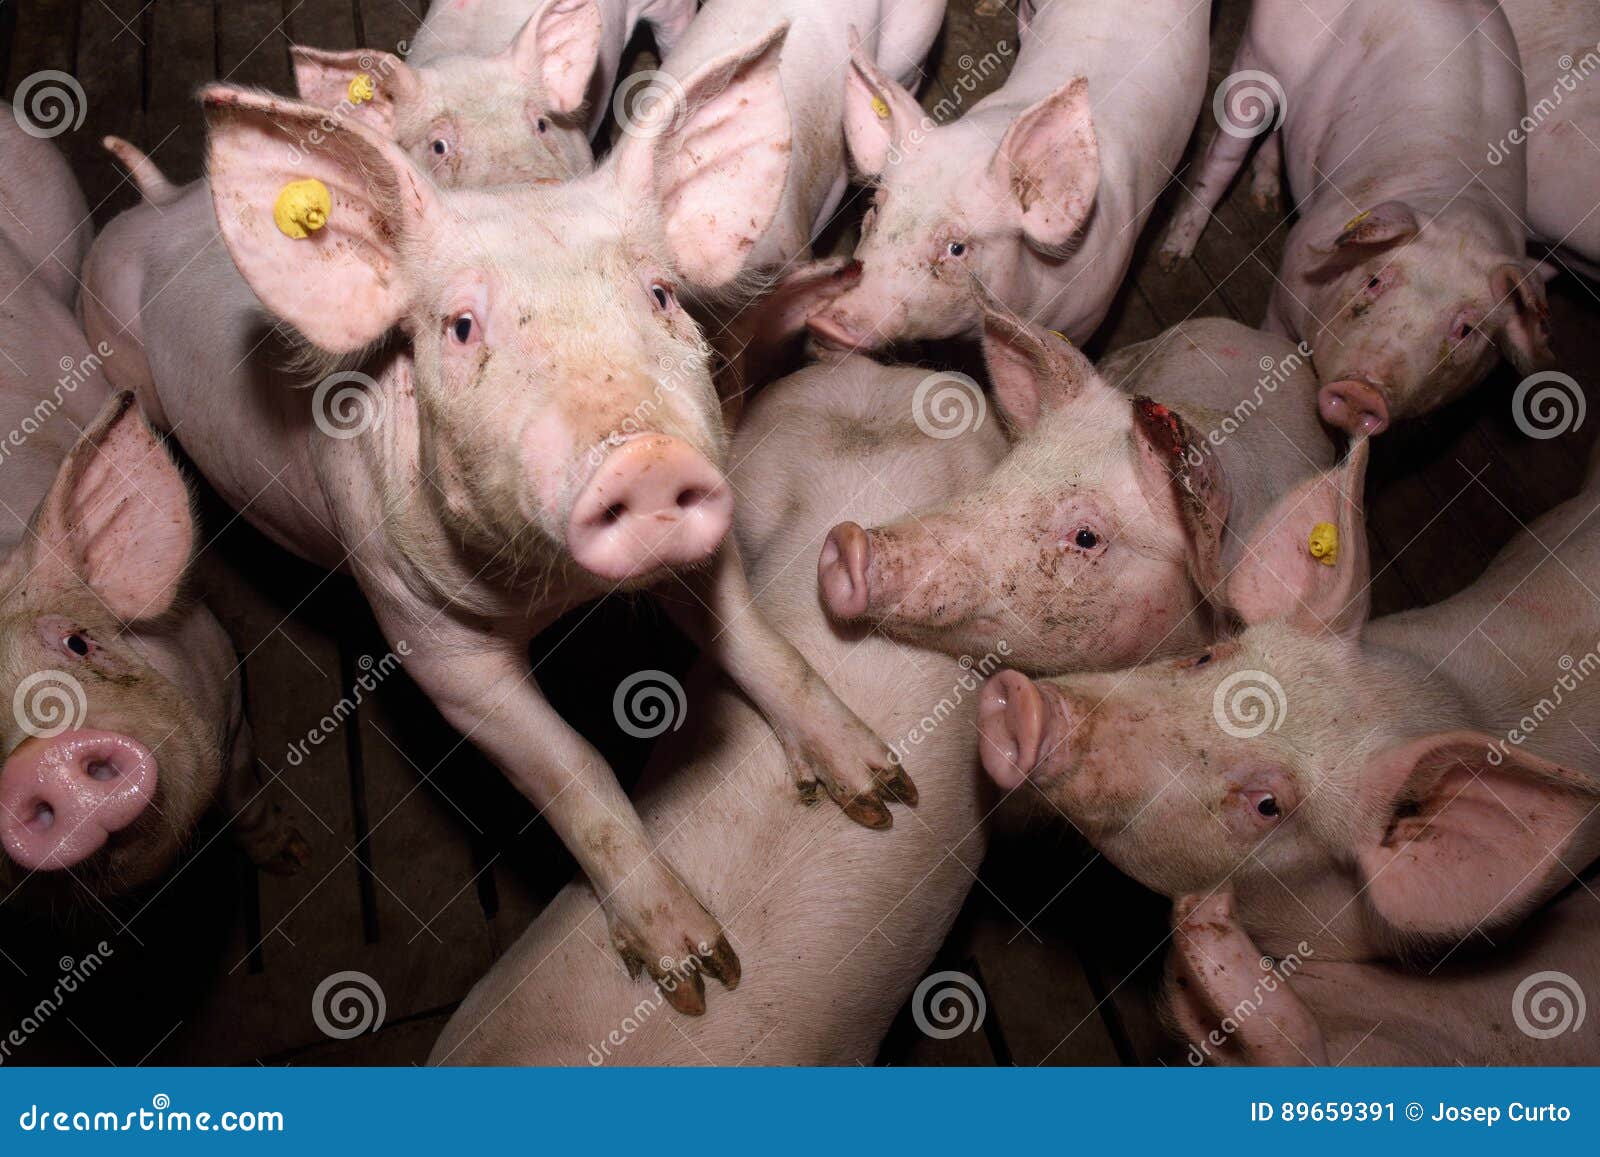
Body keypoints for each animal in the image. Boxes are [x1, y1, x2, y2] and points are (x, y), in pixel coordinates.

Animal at [82, 31, 914, 1012]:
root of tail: (155, 204)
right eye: (461, 327)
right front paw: (699, 975)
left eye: (662, 294)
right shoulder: (430, 642)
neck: (557, 598)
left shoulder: (708, 549)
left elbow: (759, 641)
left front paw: (883, 793)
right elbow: (571, 767)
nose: (643, 456)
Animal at [1158, 0, 1555, 436]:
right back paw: (1172, 258)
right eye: (1375, 280)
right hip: (1257, 58)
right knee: (1221, 157)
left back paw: (1264, 198)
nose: (1363, 391)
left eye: (1466, 329)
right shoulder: (1289, 279)